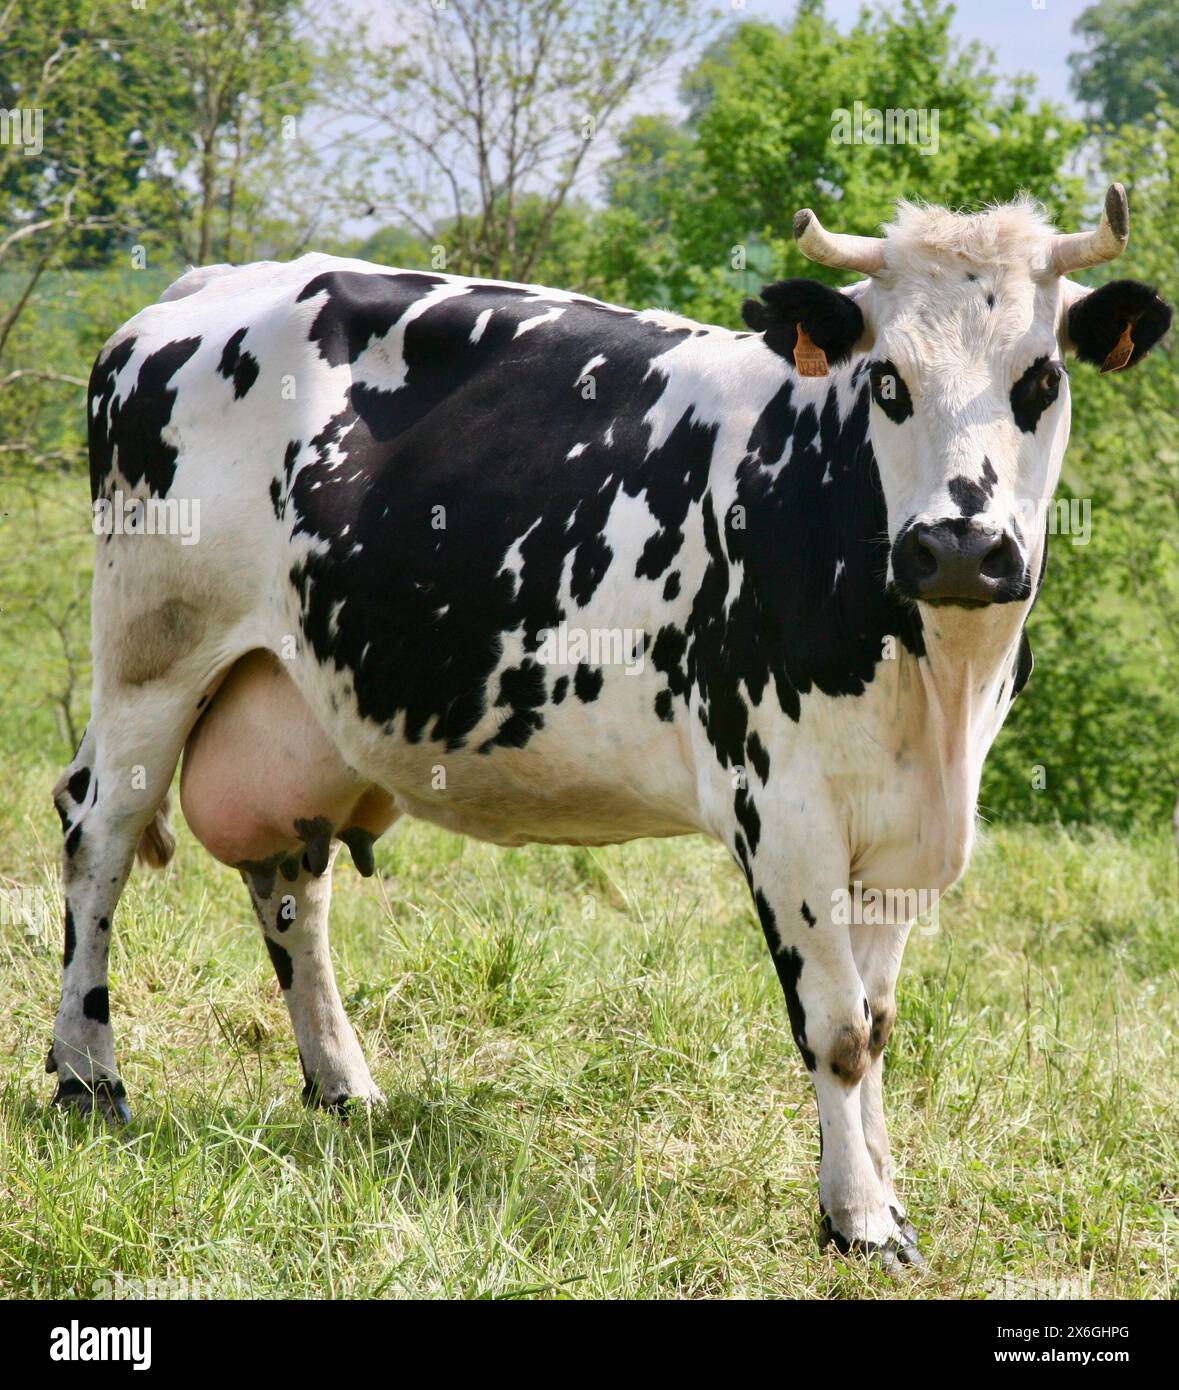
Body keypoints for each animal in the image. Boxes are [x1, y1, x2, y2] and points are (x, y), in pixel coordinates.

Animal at [49, 185, 1171, 1268]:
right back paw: (86, 1080)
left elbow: (878, 1021)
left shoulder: (904, 833)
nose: (958, 547)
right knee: (94, 841)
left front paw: (882, 1197)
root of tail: (202, 288)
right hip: (152, 654)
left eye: (1041, 378)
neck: (940, 684)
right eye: (888, 380)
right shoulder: (782, 813)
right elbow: (838, 1030)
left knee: (290, 884)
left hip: (301, 707)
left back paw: (344, 1088)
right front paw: (859, 1223)